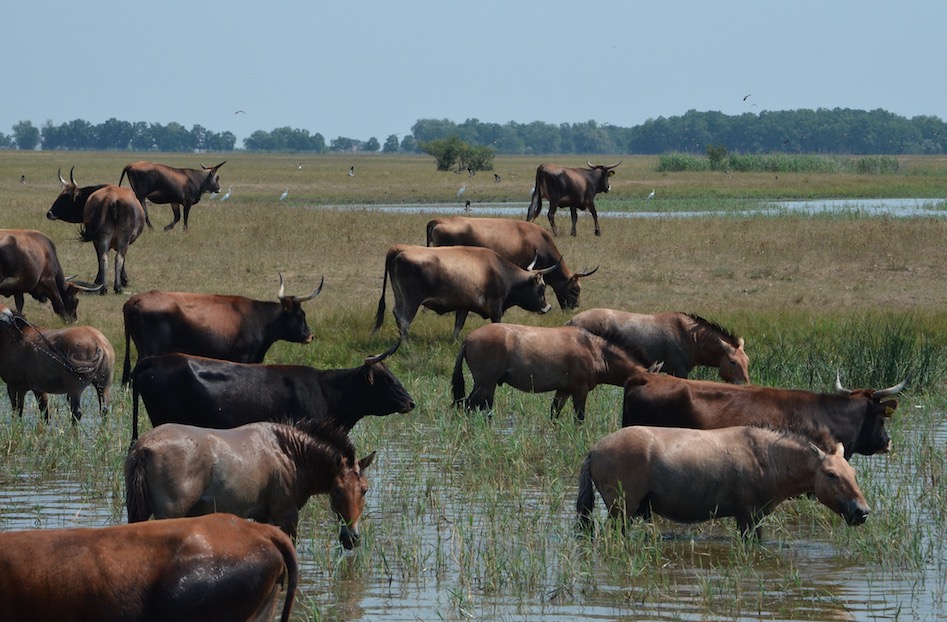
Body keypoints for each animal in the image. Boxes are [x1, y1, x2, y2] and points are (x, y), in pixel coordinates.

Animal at [121, 273, 323, 385]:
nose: (310, 336)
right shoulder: (242, 357)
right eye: (301, 314)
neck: (258, 316)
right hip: (150, 350)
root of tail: (136, 298)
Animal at [373, 244, 556, 341]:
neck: (501, 270)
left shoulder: (463, 305)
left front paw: (454, 341)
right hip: (412, 300)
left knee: (397, 313)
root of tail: (398, 249)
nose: (548, 307)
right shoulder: (496, 307)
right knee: (404, 318)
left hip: (400, 296)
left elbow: (458, 325)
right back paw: (406, 342)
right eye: (542, 287)